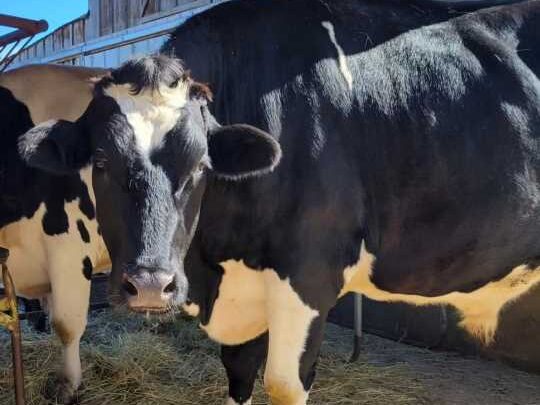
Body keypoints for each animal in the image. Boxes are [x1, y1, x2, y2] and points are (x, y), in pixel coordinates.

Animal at [2, 56, 282, 400]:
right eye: (100, 160)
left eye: (200, 166)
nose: (150, 284)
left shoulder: (68, 250)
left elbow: (66, 325)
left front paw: (68, 384)